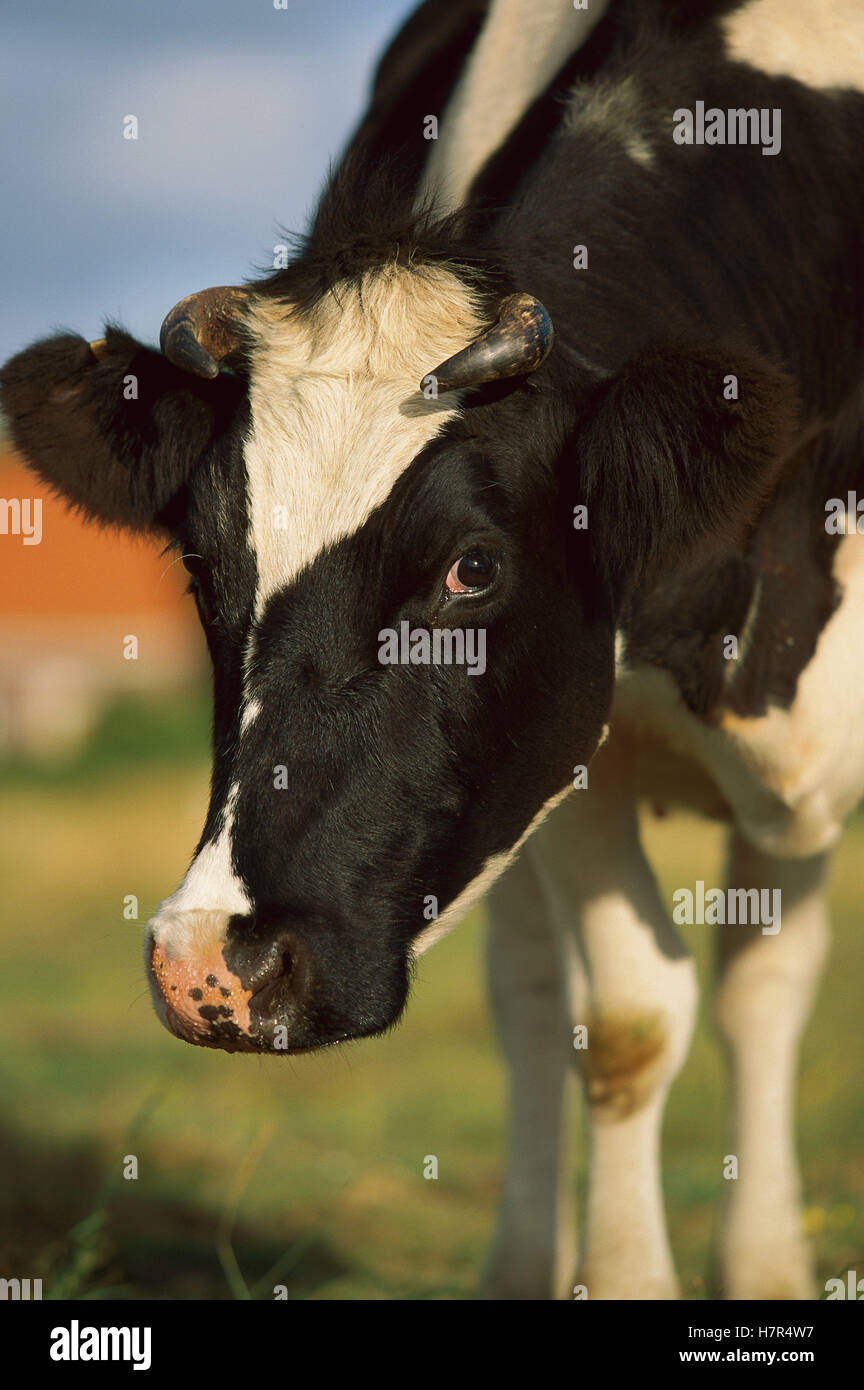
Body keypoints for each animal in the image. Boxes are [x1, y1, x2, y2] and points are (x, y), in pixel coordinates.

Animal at [2, 0, 863, 1301]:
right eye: (201, 566)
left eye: (473, 568)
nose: (210, 964)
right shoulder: (578, 744)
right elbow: (626, 1023)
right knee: (543, 996)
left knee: (764, 987)